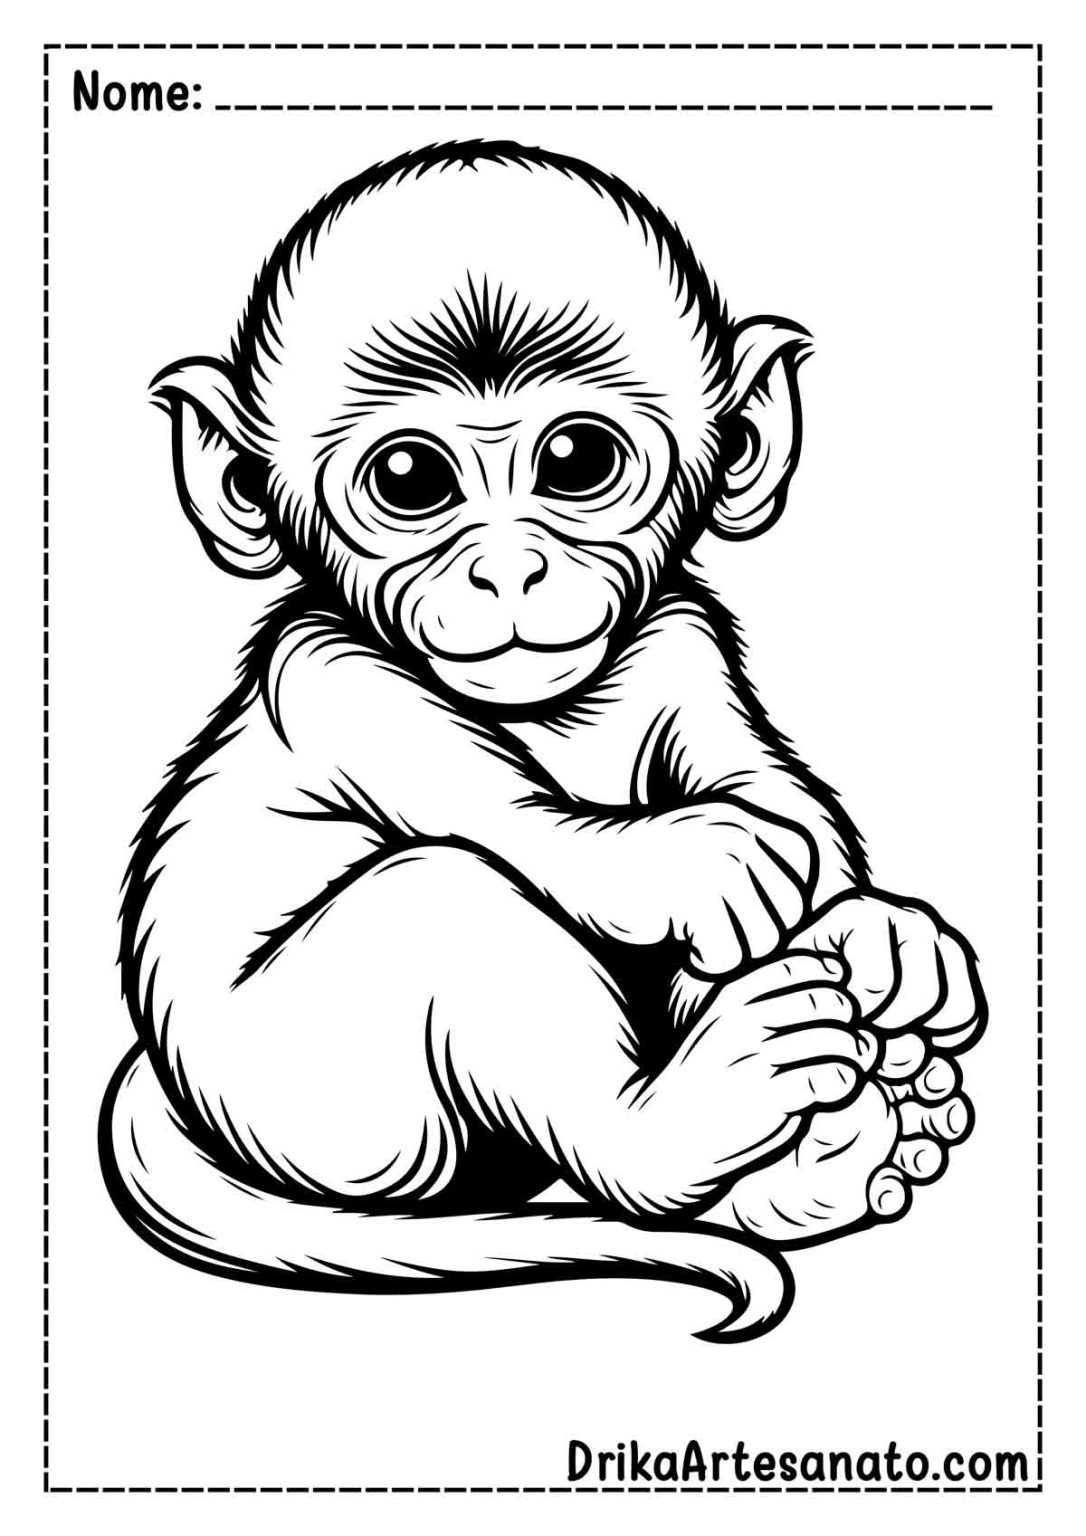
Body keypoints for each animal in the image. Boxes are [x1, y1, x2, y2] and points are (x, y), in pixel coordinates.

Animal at [100, 141, 986, 1342]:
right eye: (411, 481)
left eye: (576, 460)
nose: (509, 568)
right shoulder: (332, 676)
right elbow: (535, 828)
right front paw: (684, 858)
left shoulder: (681, 636)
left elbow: (766, 791)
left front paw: (876, 932)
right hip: (310, 1106)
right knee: (441, 896)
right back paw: (671, 1132)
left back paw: (818, 1169)